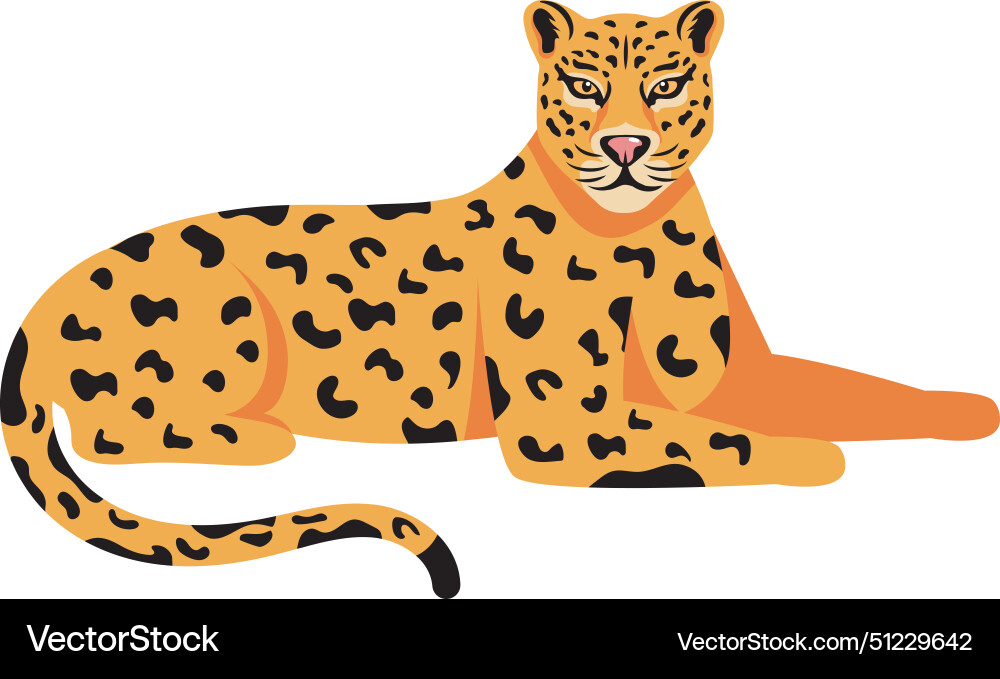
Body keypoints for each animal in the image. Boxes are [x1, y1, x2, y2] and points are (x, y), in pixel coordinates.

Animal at [2, 1, 997, 599]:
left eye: (665, 83)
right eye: (586, 85)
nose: (627, 145)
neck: (641, 231)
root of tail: (39, 309)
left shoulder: (724, 375)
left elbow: (861, 388)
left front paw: (969, 410)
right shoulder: (572, 421)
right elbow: (713, 442)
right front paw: (816, 457)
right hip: (223, 313)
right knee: (119, 429)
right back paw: (256, 435)